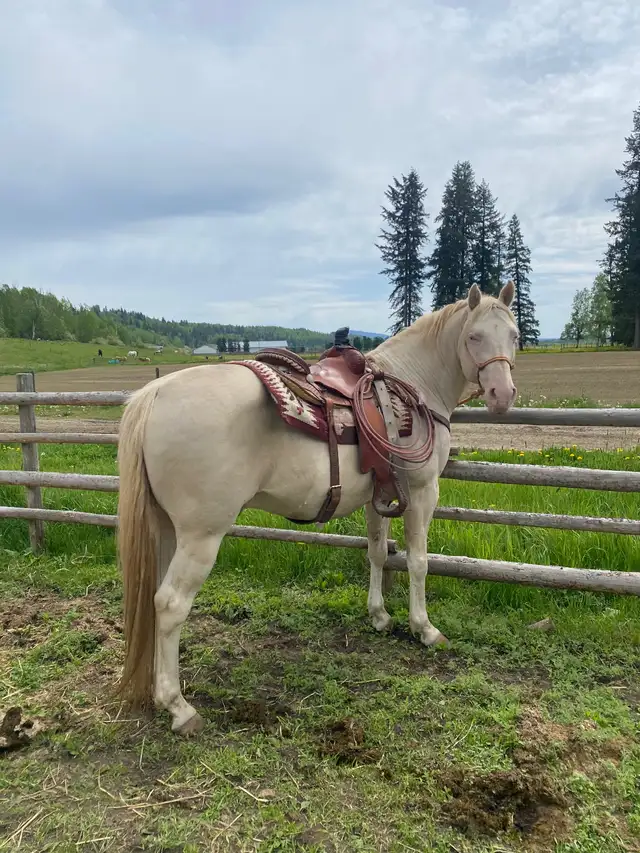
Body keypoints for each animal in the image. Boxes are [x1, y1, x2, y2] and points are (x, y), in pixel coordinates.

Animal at [116, 284, 519, 735]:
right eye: (474, 337)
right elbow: (418, 561)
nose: (503, 396)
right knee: (171, 605)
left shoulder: (380, 496)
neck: (414, 386)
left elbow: (377, 553)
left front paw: (379, 616)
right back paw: (179, 707)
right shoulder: (420, 492)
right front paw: (425, 629)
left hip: (167, 528)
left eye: (515, 335)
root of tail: (154, 394)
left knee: (153, 598)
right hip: (201, 535)